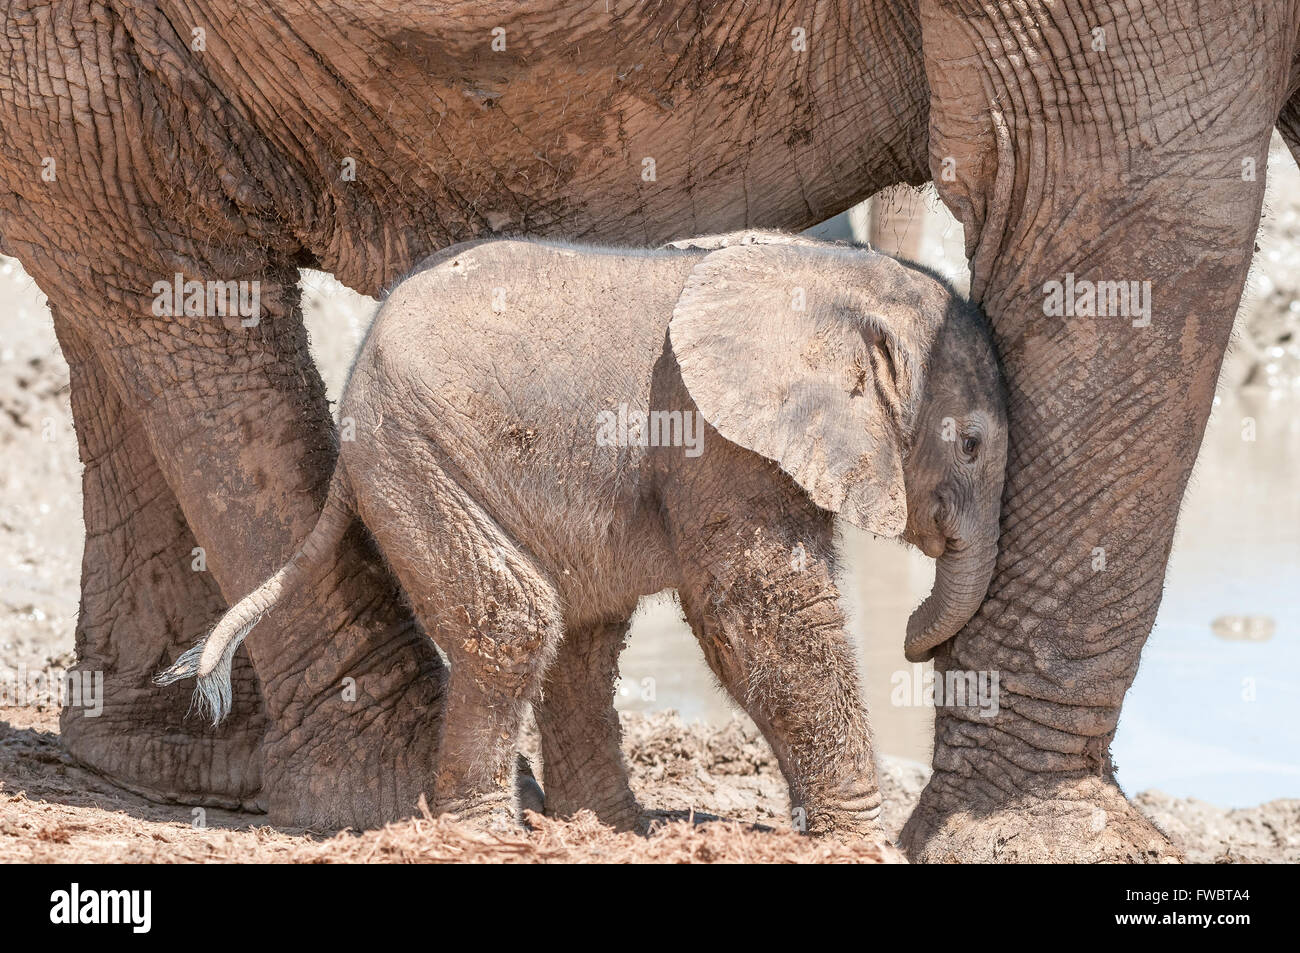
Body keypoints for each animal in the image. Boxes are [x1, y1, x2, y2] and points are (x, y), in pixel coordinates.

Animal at [155, 232, 1007, 834]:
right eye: (971, 445)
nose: (915, 638)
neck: (836, 275)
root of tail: (356, 377)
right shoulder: (713, 438)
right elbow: (764, 611)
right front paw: (860, 835)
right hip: (419, 454)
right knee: (515, 621)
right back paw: (486, 832)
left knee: (583, 640)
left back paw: (611, 829)